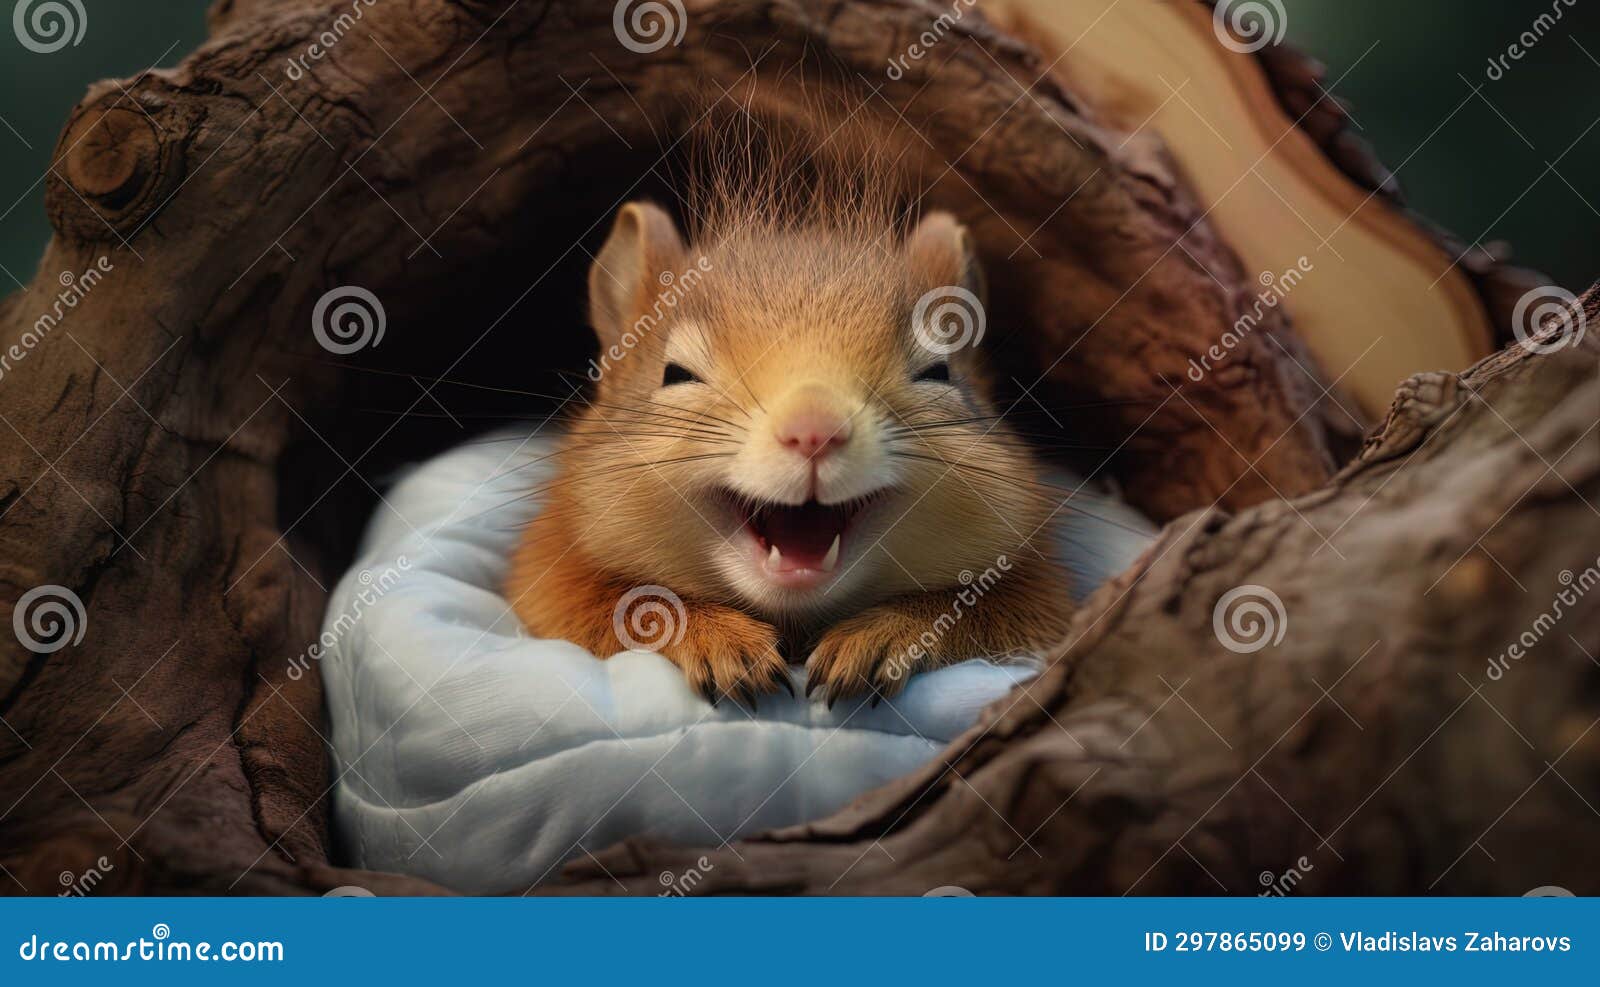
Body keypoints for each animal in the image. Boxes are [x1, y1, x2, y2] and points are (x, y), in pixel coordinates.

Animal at [506, 169, 1074, 707]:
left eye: (937, 373)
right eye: (675, 374)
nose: (813, 430)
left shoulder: (1038, 599)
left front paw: (883, 634)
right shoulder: (551, 571)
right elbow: (620, 609)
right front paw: (718, 640)